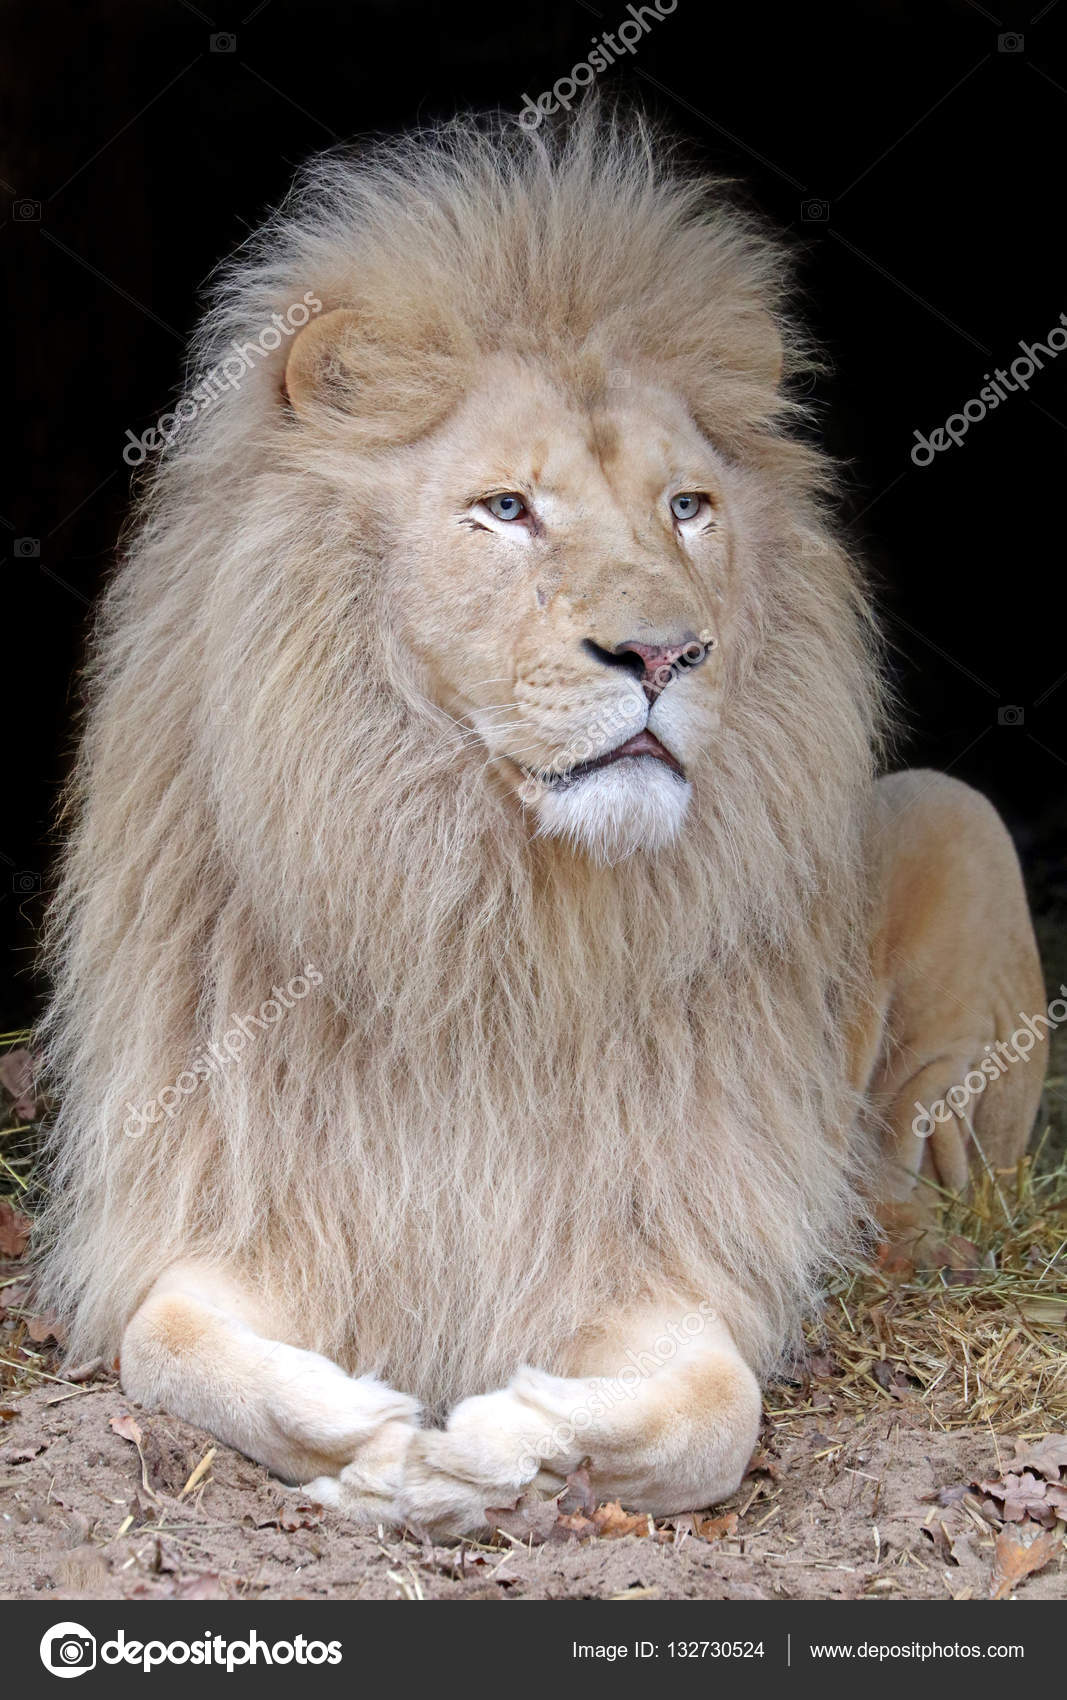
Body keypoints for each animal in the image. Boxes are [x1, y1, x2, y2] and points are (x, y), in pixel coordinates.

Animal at [38, 111, 1046, 1537]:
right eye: (508, 509)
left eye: (686, 507)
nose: (664, 652)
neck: (493, 911)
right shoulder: (229, 1196)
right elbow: (165, 1335)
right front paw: (373, 1442)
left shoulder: (660, 1245)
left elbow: (713, 1408)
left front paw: (495, 1451)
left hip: (956, 819)